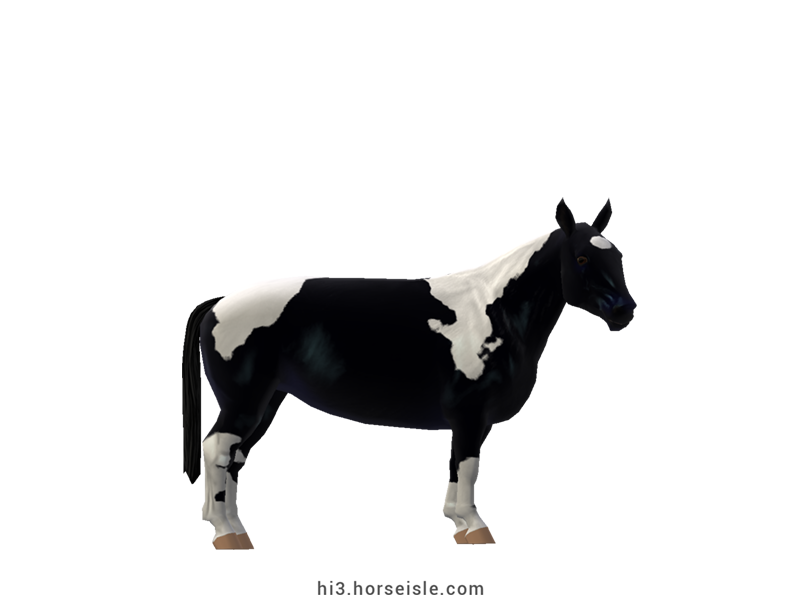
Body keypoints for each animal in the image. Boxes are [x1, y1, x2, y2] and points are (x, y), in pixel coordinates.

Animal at [182, 198, 636, 546]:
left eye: (614, 252)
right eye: (582, 256)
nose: (623, 309)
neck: (495, 309)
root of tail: (217, 304)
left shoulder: (471, 416)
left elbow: (457, 464)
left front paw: (456, 523)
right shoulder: (470, 411)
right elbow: (468, 463)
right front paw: (476, 526)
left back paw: (224, 526)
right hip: (241, 401)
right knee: (216, 452)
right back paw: (225, 532)